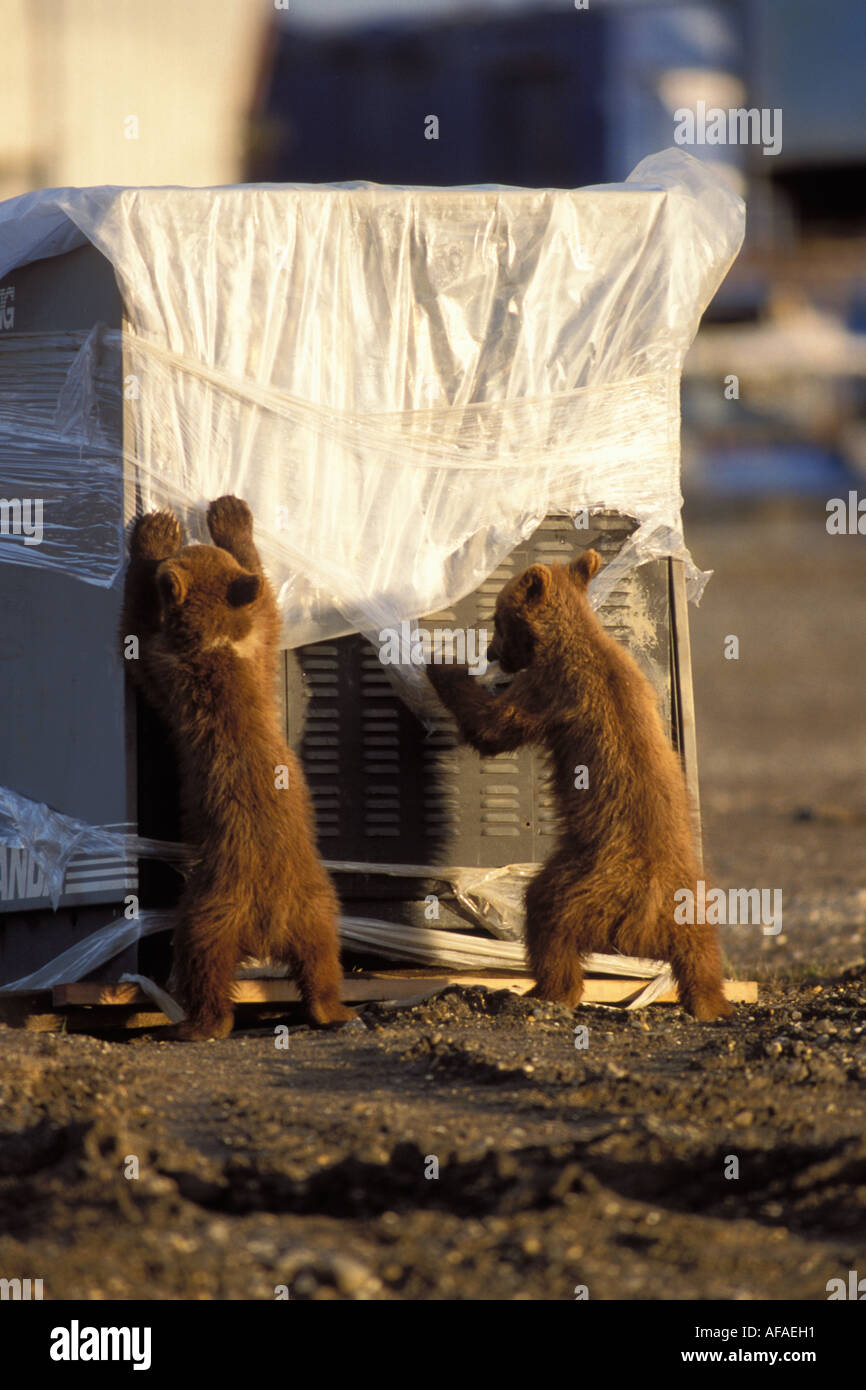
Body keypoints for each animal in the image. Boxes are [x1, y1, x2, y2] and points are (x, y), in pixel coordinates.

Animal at [120, 495, 355, 1039]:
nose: (184, 539)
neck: (217, 642)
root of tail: (269, 922)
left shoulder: (168, 666)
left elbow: (135, 634)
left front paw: (159, 530)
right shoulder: (257, 641)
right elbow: (262, 593)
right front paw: (229, 518)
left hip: (211, 906)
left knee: (202, 956)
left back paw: (197, 1023)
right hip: (317, 903)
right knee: (322, 957)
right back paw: (335, 1009)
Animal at [425, 549, 732, 1021]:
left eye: (498, 618)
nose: (492, 651)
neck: (570, 638)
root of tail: (647, 918)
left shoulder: (553, 689)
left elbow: (494, 726)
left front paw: (443, 664)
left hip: (584, 883)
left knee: (548, 918)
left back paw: (546, 990)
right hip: (691, 906)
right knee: (702, 953)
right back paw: (711, 1002)